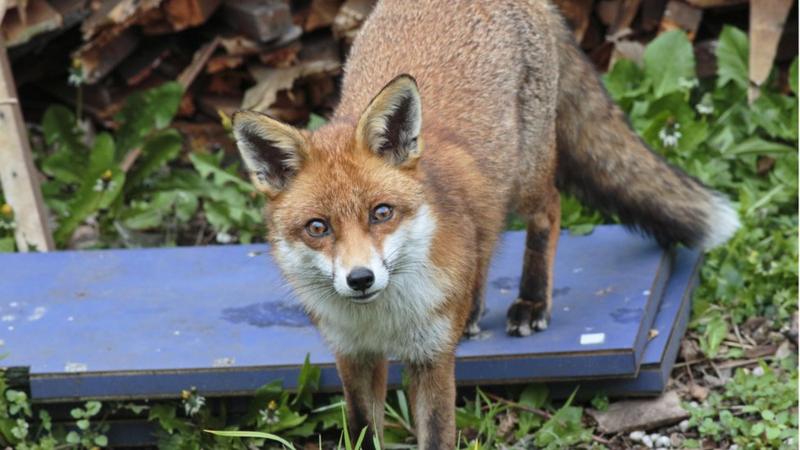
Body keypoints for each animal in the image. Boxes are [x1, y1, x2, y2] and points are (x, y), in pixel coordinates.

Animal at [232, 0, 740, 448]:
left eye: (381, 213)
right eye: (318, 228)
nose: (360, 279)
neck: (384, 321)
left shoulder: (432, 358)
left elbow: (437, 435)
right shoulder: (352, 357)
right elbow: (361, 432)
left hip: (527, 174)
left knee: (548, 211)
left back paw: (532, 300)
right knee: (488, 242)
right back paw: (474, 310)